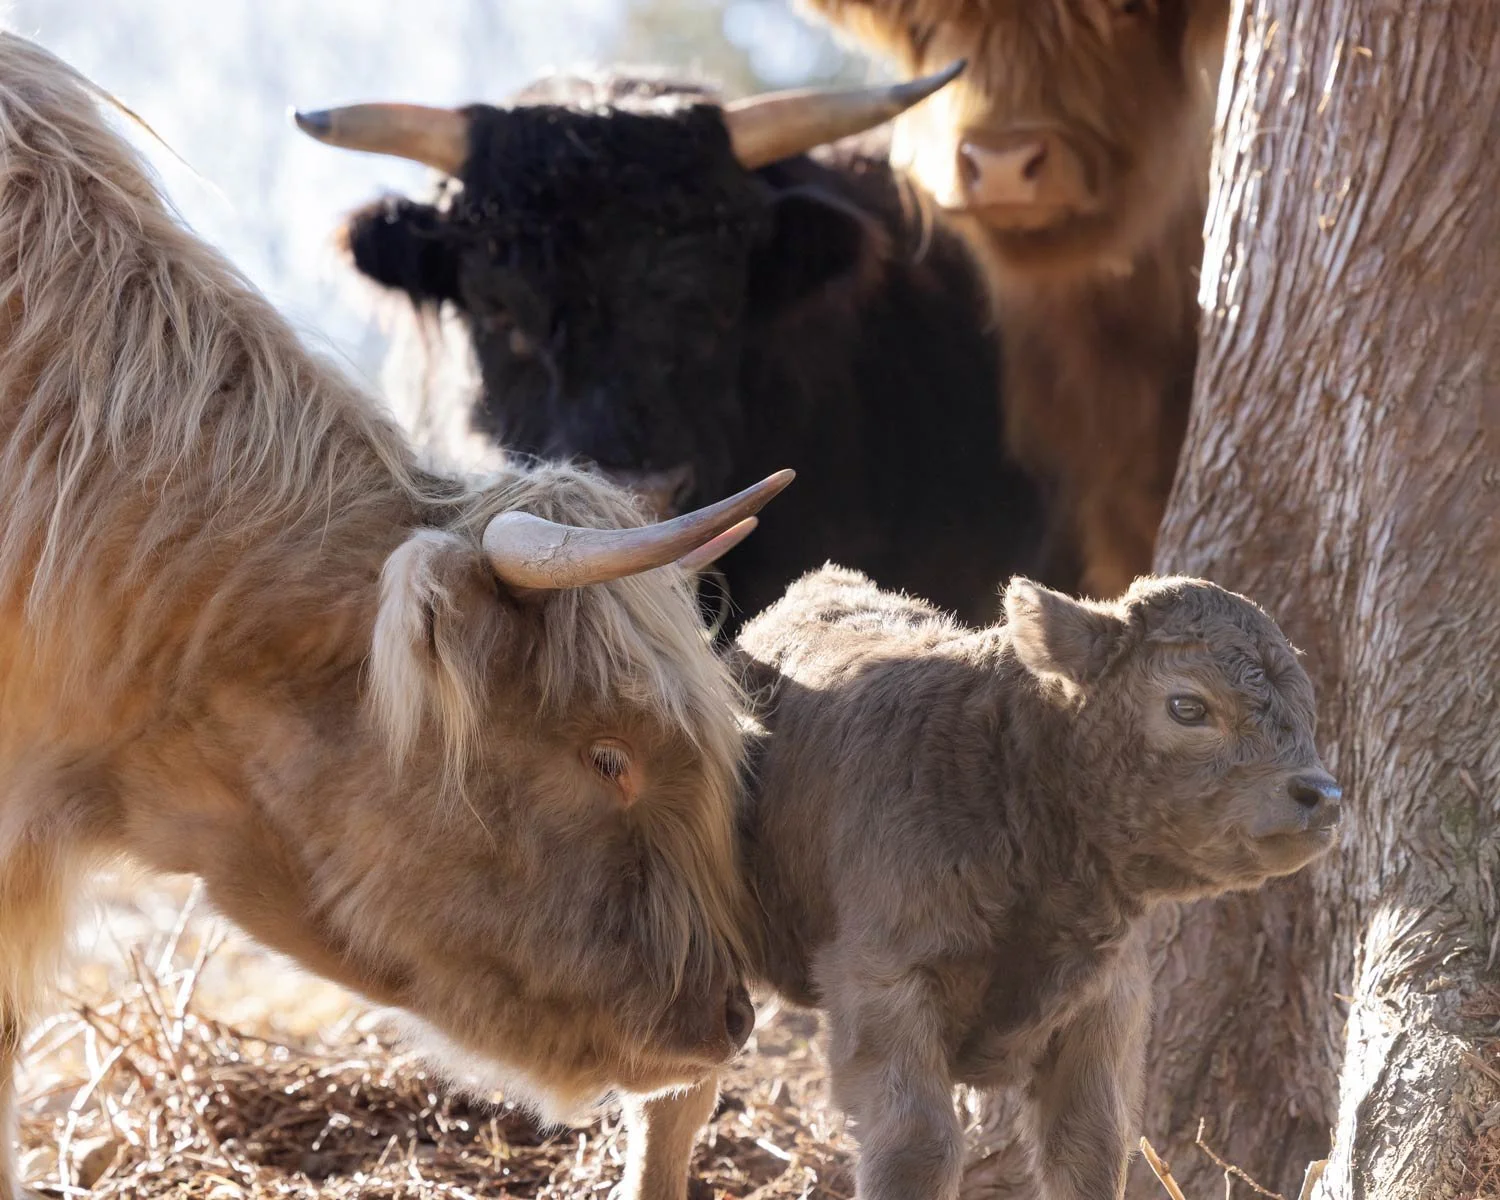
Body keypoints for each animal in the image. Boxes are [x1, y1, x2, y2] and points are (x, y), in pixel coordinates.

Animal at [628, 566, 1341, 1200]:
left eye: (1309, 706)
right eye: (1188, 706)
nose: (1321, 794)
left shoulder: (1106, 1007)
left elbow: (1089, 1151)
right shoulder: (887, 985)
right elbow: (919, 1148)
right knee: (676, 1097)